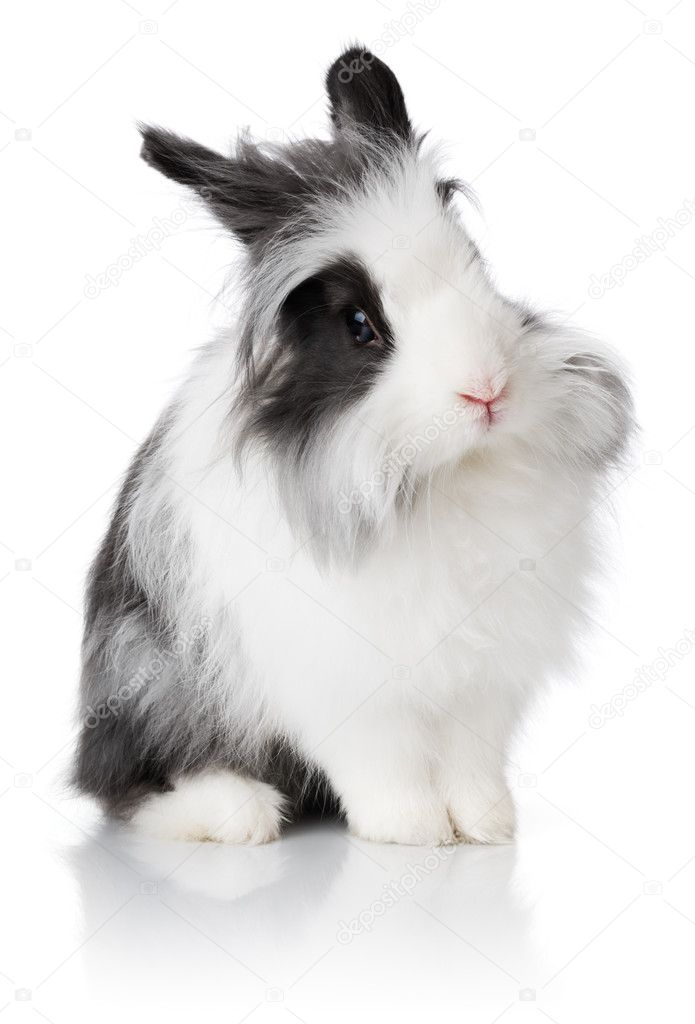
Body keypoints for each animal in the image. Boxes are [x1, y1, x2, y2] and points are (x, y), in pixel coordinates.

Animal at [74, 44, 633, 846]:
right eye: (361, 326)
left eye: (475, 268)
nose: (487, 390)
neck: (438, 474)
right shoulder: (352, 685)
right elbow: (385, 762)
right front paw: (413, 830)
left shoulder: (479, 681)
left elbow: (469, 759)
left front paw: (485, 825)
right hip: (149, 679)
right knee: (125, 782)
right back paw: (239, 813)